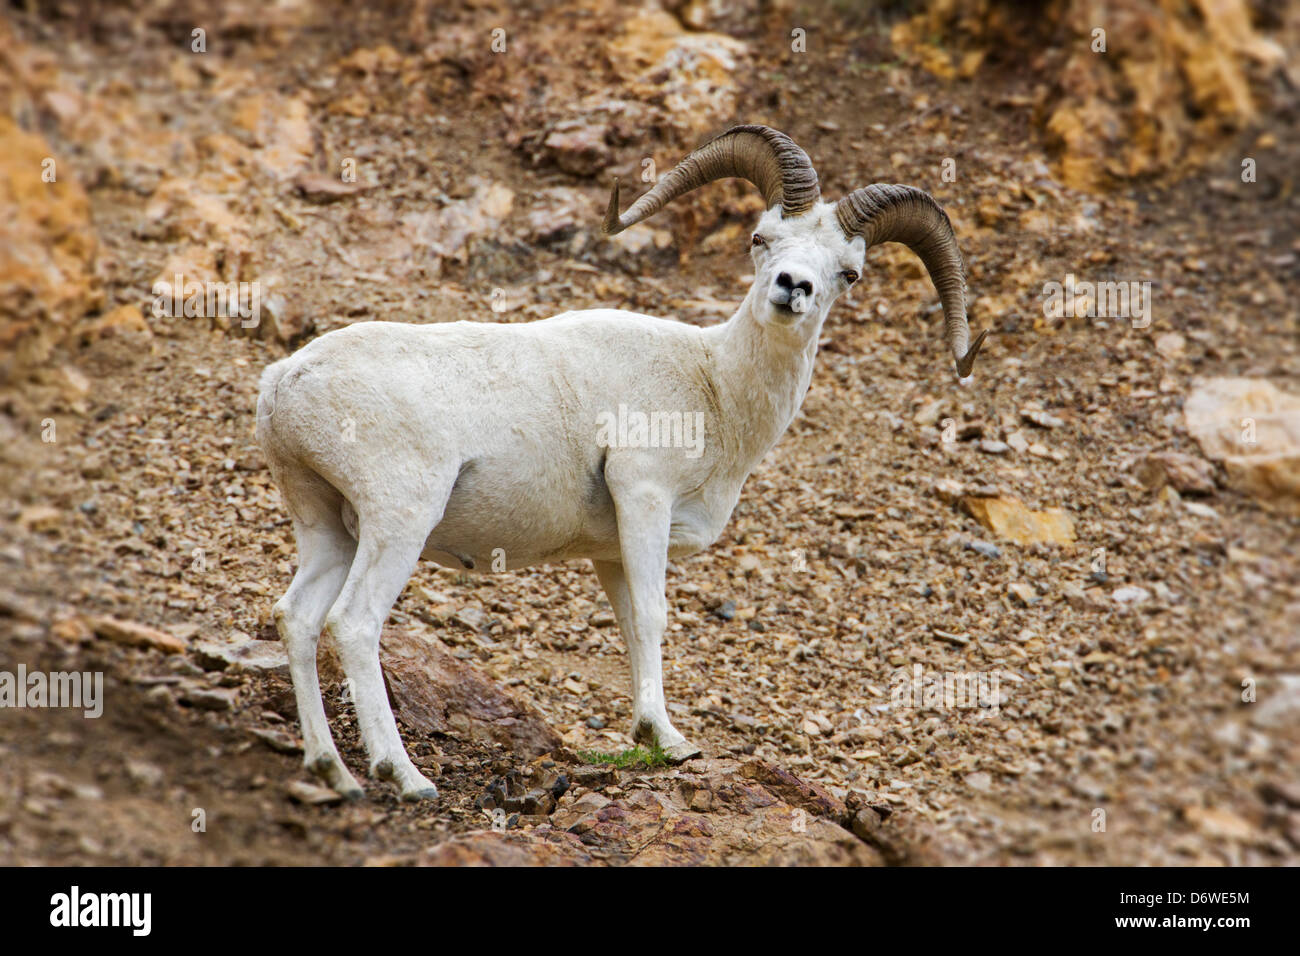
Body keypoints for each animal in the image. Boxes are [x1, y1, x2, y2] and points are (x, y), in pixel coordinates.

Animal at [256, 125, 986, 801]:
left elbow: (632, 624)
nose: (791, 288)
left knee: (298, 618)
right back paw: (403, 776)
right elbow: (656, 616)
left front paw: (656, 739)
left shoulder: (610, 551)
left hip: (330, 527)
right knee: (354, 624)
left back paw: (333, 771)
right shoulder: (644, 499)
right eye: (762, 238)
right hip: (399, 522)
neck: (713, 385)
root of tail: (286, 381)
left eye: (847, 272)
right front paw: (673, 741)